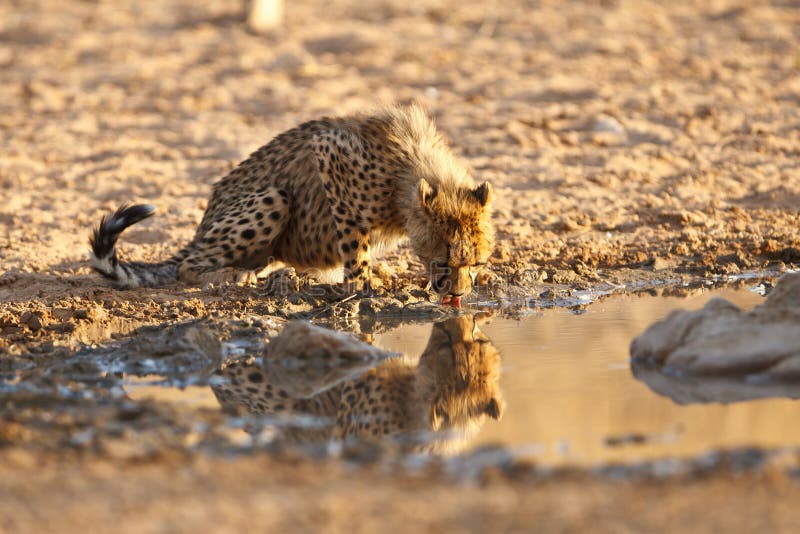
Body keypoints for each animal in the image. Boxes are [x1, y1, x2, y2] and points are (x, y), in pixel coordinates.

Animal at [90, 104, 495, 301]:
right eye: (442, 261)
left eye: (475, 263)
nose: (458, 295)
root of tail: (203, 222)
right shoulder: (329, 153)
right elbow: (355, 246)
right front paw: (361, 285)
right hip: (273, 197)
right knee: (189, 265)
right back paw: (234, 275)